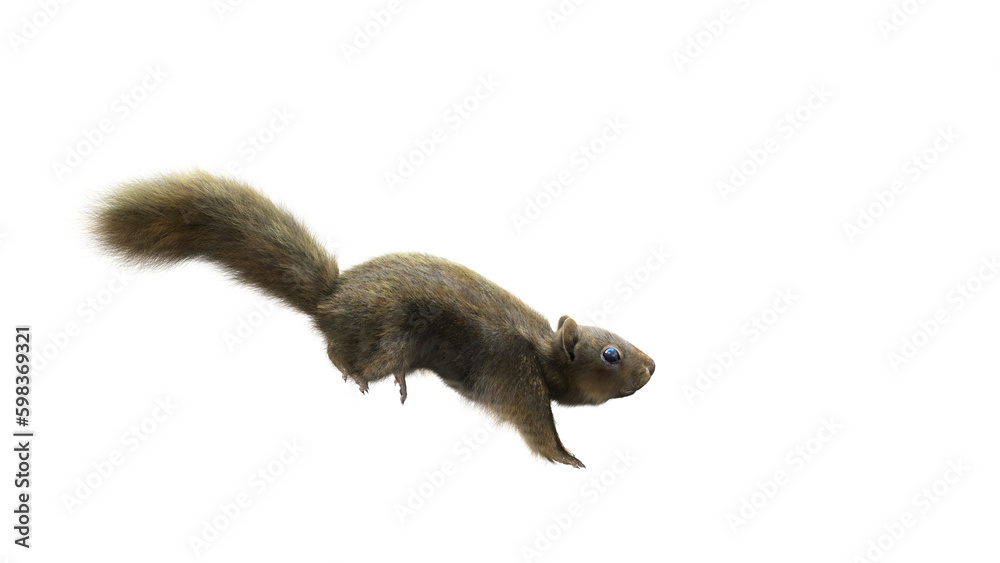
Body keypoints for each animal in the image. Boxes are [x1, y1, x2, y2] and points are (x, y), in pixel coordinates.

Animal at [87, 170, 654, 467]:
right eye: (611, 353)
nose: (653, 366)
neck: (541, 348)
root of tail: (331, 299)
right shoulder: (516, 379)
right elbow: (537, 429)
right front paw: (567, 457)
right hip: (392, 333)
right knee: (340, 350)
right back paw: (354, 372)